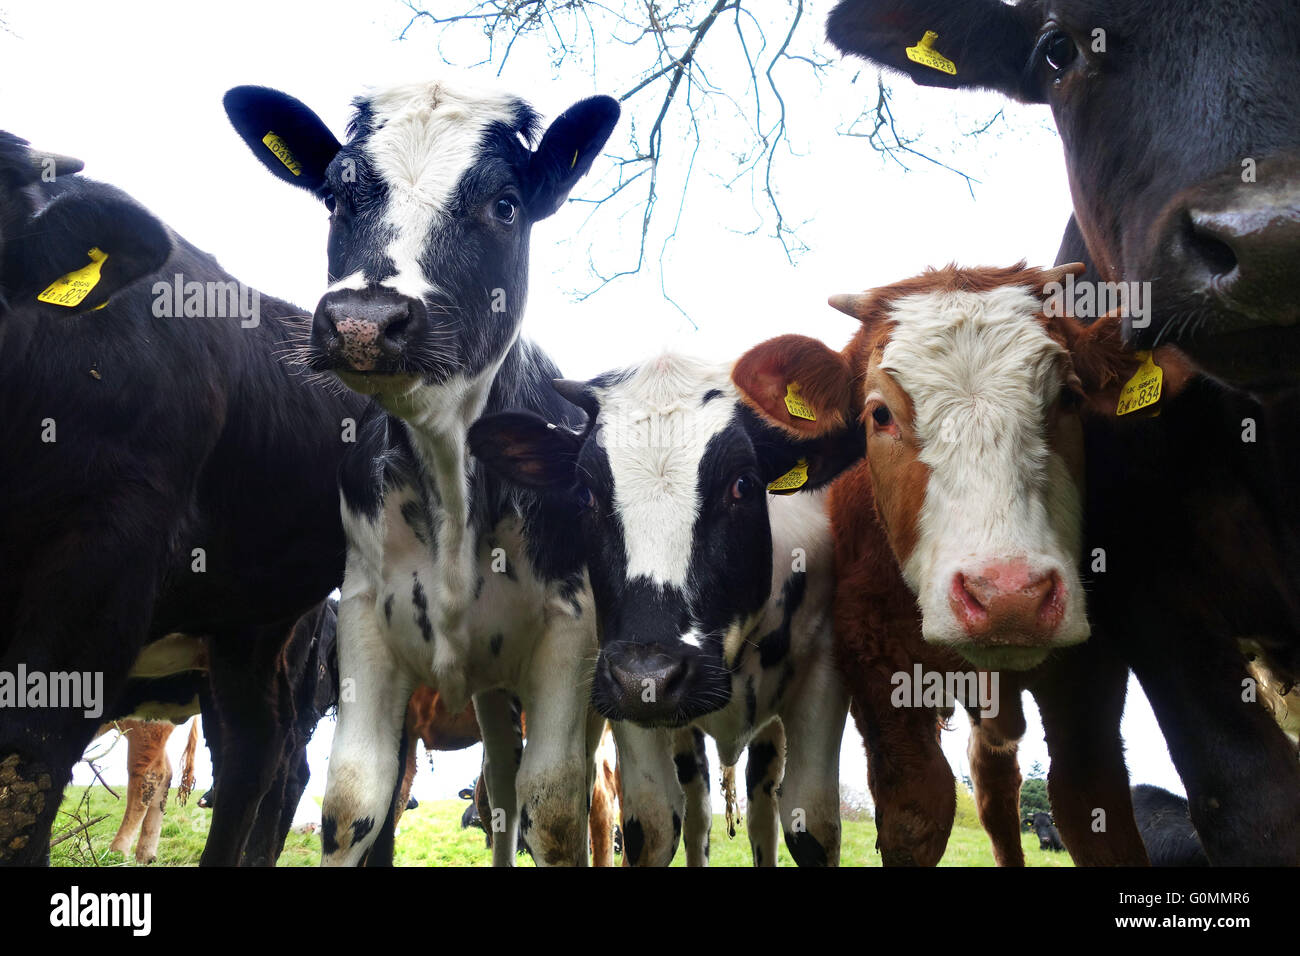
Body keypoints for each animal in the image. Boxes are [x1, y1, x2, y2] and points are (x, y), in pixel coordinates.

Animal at [223, 78, 625, 866]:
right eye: (337, 197)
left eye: (505, 203)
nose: (362, 320)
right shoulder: (365, 630)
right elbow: (352, 802)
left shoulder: (569, 639)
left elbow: (557, 811)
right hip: (488, 689)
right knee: (498, 788)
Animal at [469, 353, 853, 865]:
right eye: (584, 493)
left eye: (744, 484)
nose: (646, 677)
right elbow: (652, 826)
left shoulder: (825, 673)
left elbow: (811, 825)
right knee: (697, 812)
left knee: (762, 808)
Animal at [731, 264, 1161, 866]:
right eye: (880, 413)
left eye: (1070, 398)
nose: (1009, 597)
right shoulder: (878, 666)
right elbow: (917, 814)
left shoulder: (1090, 675)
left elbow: (1094, 813)